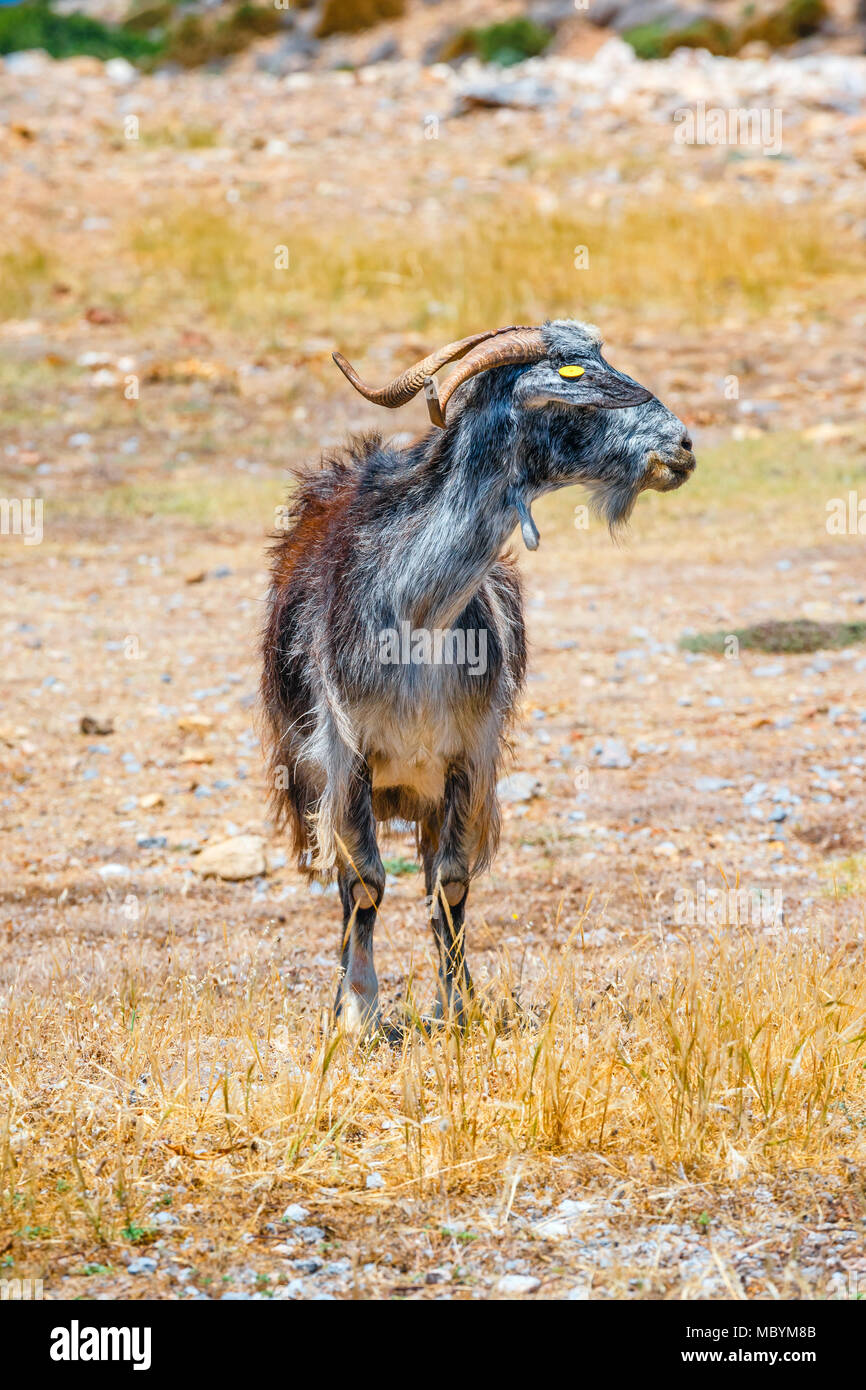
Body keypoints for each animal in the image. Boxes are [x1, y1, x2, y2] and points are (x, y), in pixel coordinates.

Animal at [261, 320, 695, 1036]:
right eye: (572, 374)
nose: (682, 447)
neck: (416, 616)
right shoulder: (345, 754)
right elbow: (365, 881)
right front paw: (358, 1011)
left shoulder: (469, 756)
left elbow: (452, 884)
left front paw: (460, 1007)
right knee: (351, 887)